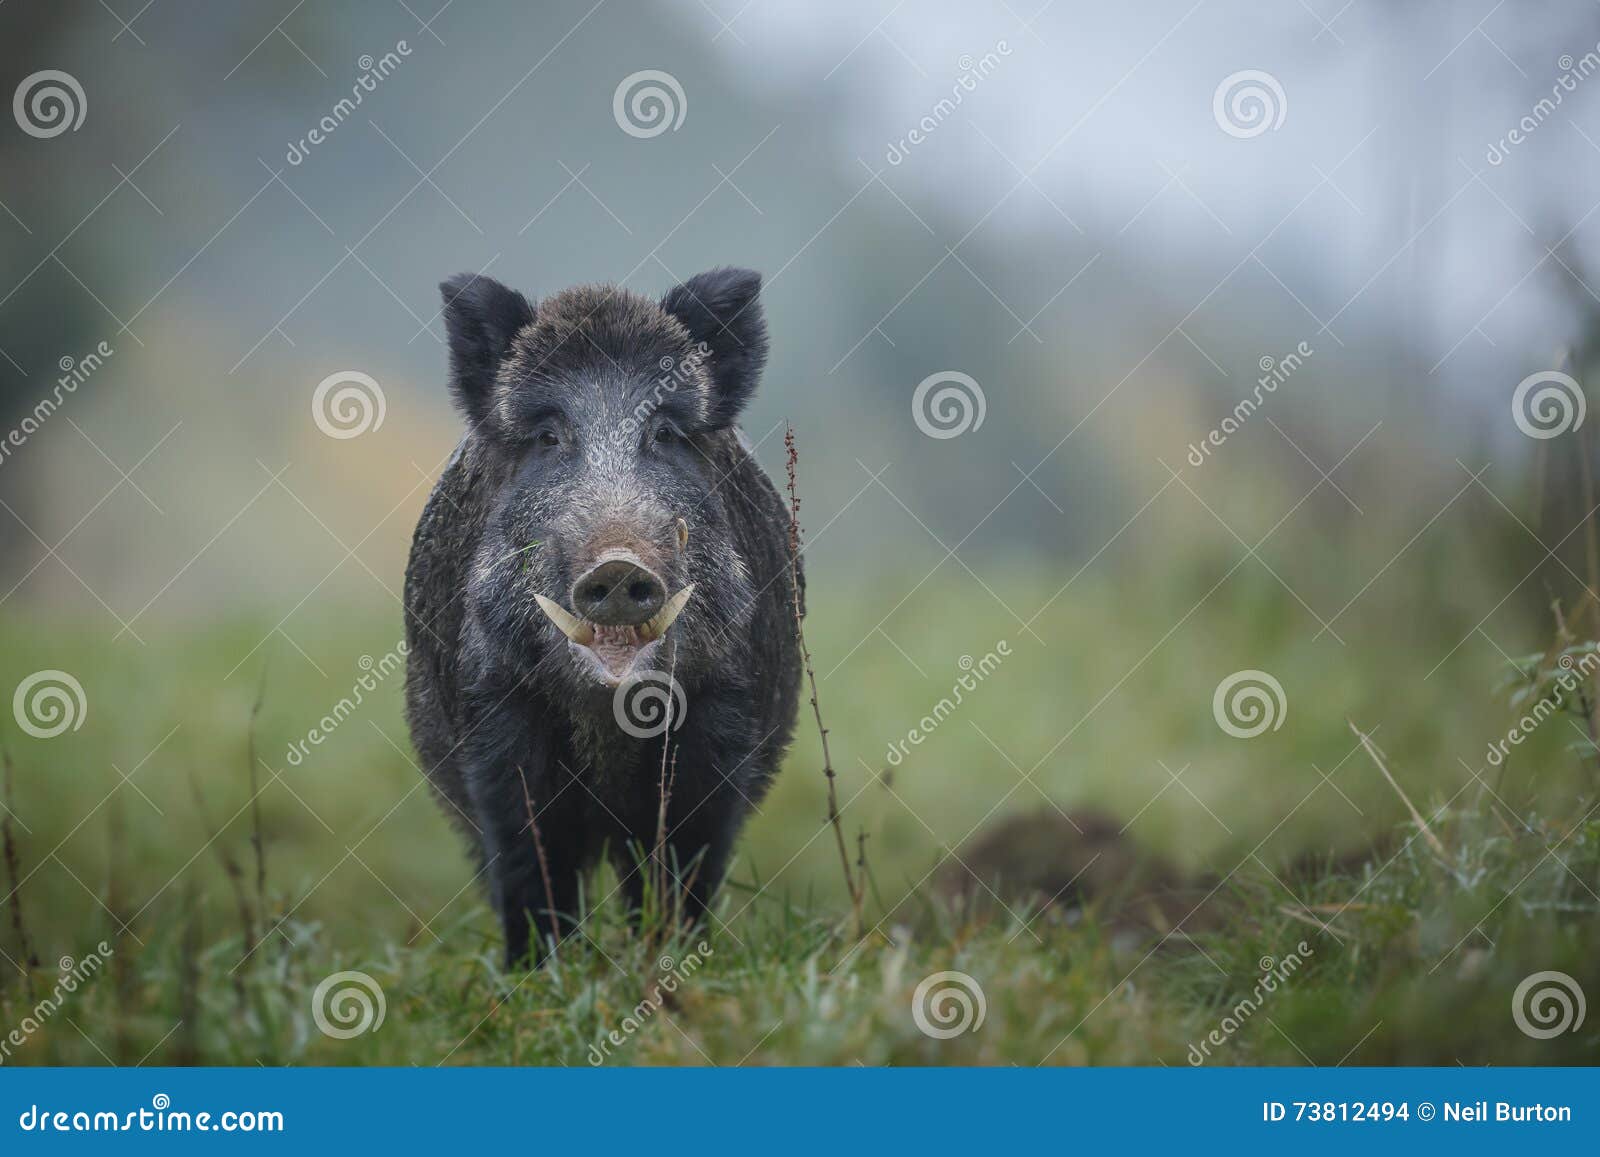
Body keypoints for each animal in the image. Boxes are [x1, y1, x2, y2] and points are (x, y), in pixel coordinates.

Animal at [403, 267, 803, 967]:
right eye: (548, 437)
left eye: (665, 433)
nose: (616, 566)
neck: (608, 718)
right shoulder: (495, 711)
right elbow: (530, 860)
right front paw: (537, 975)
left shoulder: (723, 711)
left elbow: (685, 859)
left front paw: (669, 960)